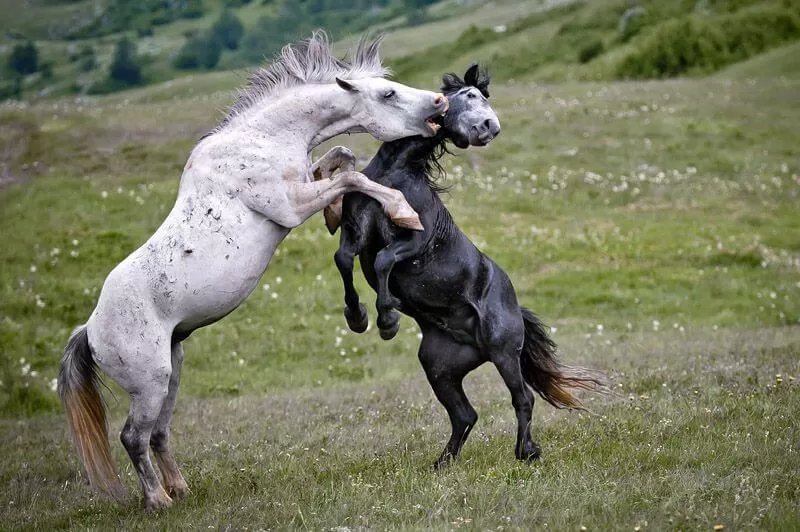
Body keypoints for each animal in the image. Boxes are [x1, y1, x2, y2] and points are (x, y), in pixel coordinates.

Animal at [58, 30, 446, 512]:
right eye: (387, 94)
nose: (439, 102)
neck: (260, 141)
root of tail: (90, 331)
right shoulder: (290, 206)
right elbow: (349, 178)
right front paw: (402, 210)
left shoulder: (304, 183)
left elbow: (339, 159)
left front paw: (337, 214)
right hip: (149, 383)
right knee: (133, 437)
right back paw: (158, 501)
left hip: (171, 372)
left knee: (159, 433)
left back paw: (180, 489)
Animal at [330, 65, 600, 466]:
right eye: (471, 96)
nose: (490, 127)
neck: (396, 175)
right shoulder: (356, 230)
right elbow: (345, 259)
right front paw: (357, 316)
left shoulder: (416, 239)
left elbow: (383, 260)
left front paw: (387, 320)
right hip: (440, 368)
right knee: (465, 415)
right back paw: (442, 463)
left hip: (503, 353)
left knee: (523, 398)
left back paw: (526, 452)